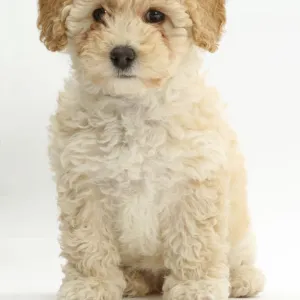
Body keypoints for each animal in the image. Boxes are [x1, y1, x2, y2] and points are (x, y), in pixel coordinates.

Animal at [37, 0, 264, 300]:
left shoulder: (194, 182)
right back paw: (133, 281)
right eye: (98, 13)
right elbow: (88, 243)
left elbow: (196, 243)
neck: (134, 107)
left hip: (240, 233)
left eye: (155, 15)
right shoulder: (85, 185)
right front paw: (91, 286)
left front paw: (195, 287)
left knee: (239, 257)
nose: (122, 54)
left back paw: (241, 279)